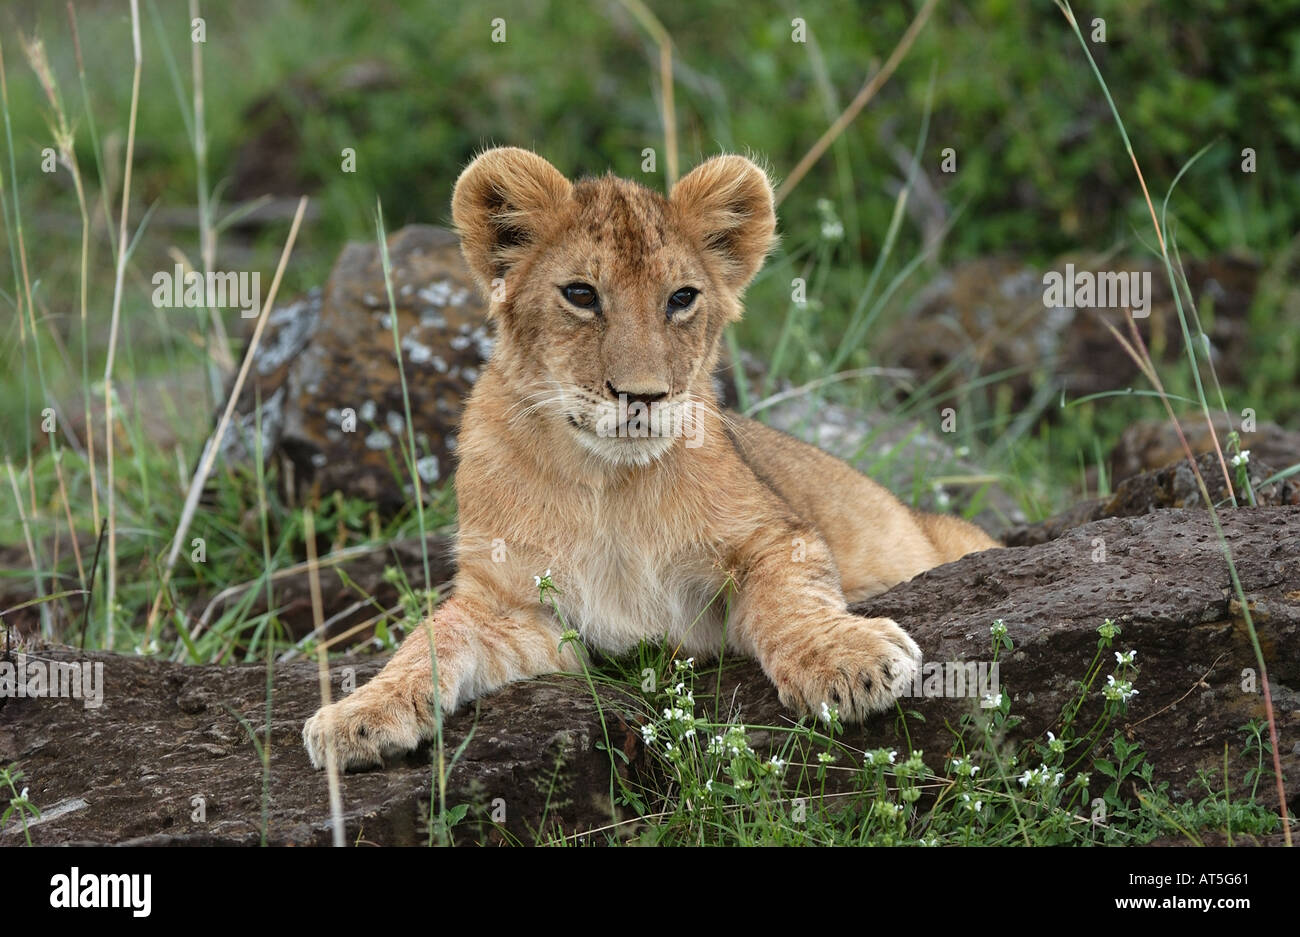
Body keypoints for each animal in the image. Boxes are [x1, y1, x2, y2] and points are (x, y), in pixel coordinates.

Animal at [303, 147, 998, 770]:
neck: (606, 482)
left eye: (681, 298)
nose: (642, 394)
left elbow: (790, 597)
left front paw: (847, 662)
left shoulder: (772, 536)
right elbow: (432, 636)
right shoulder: (520, 609)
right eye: (581, 294)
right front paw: (355, 716)